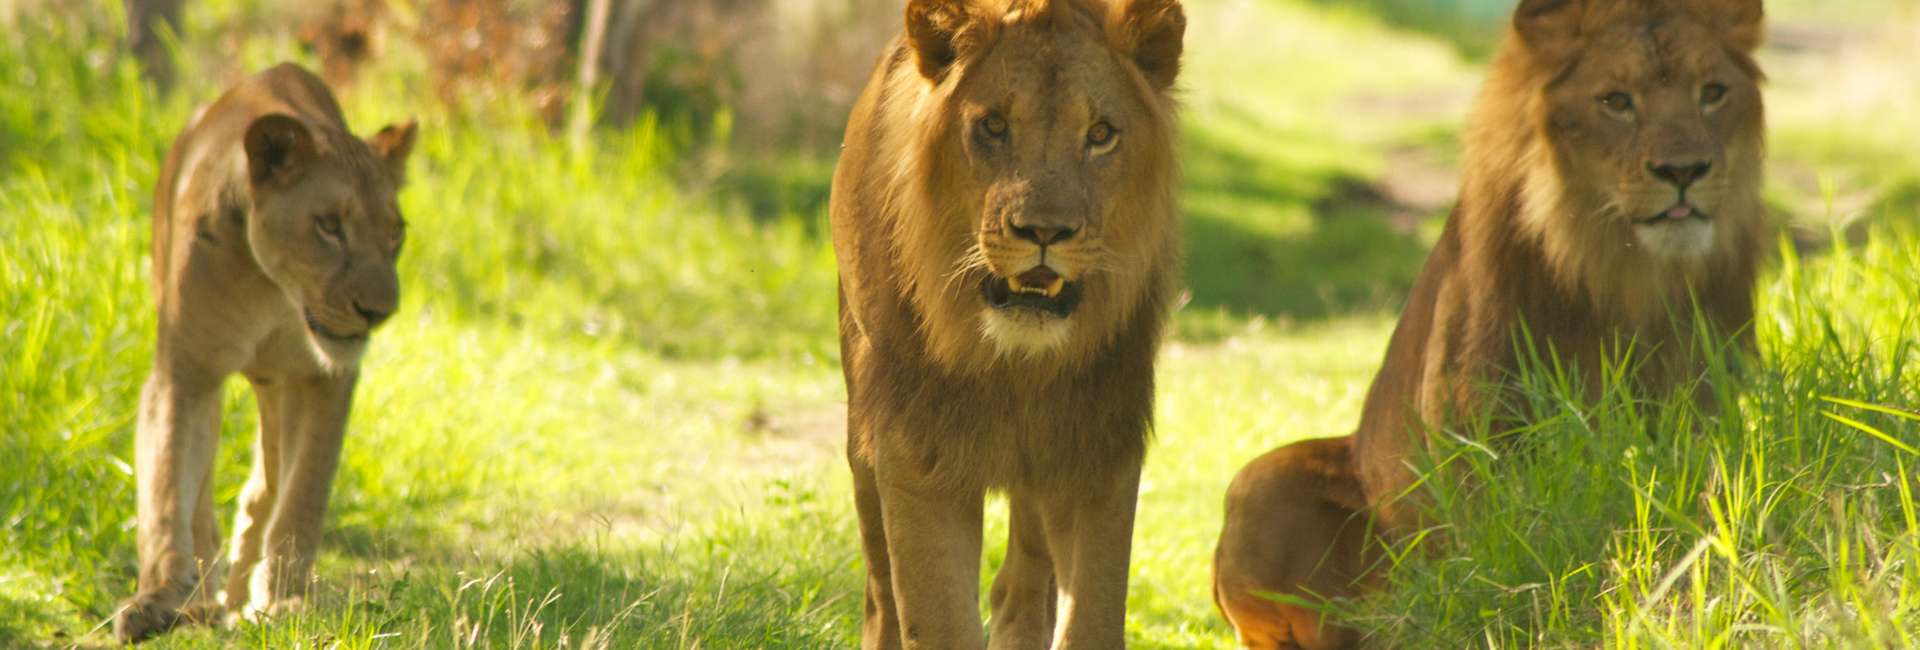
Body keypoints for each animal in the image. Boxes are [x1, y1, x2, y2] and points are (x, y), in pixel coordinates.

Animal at [113, 63, 415, 643]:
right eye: (329, 225)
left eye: (395, 234)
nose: (379, 311)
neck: (274, 290)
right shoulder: (184, 370)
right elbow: (167, 488)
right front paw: (159, 599)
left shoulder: (327, 380)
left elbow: (302, 499)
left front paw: (283, 603)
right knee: (203, 494)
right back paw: (205, 599)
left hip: (279, 390)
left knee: (264, 490)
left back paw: (239, 595)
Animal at [828, 0, 1185, 647]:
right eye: (993, 126)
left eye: (1101, 134)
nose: (1044, 231)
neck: (1013, 362)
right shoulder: (916, 449)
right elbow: (935, 616)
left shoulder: (1097, 443)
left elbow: (1092, 615)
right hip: (860, 414)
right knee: (880, 590)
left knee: (1020, 589)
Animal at [1212, 1, 1770, 647]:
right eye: (1615, 101)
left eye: (1713, 93)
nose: (1685, 170)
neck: (1621, 275)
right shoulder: (1474, 428)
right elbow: (1496, 548)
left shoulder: (1702, 406)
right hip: (1258, 483)